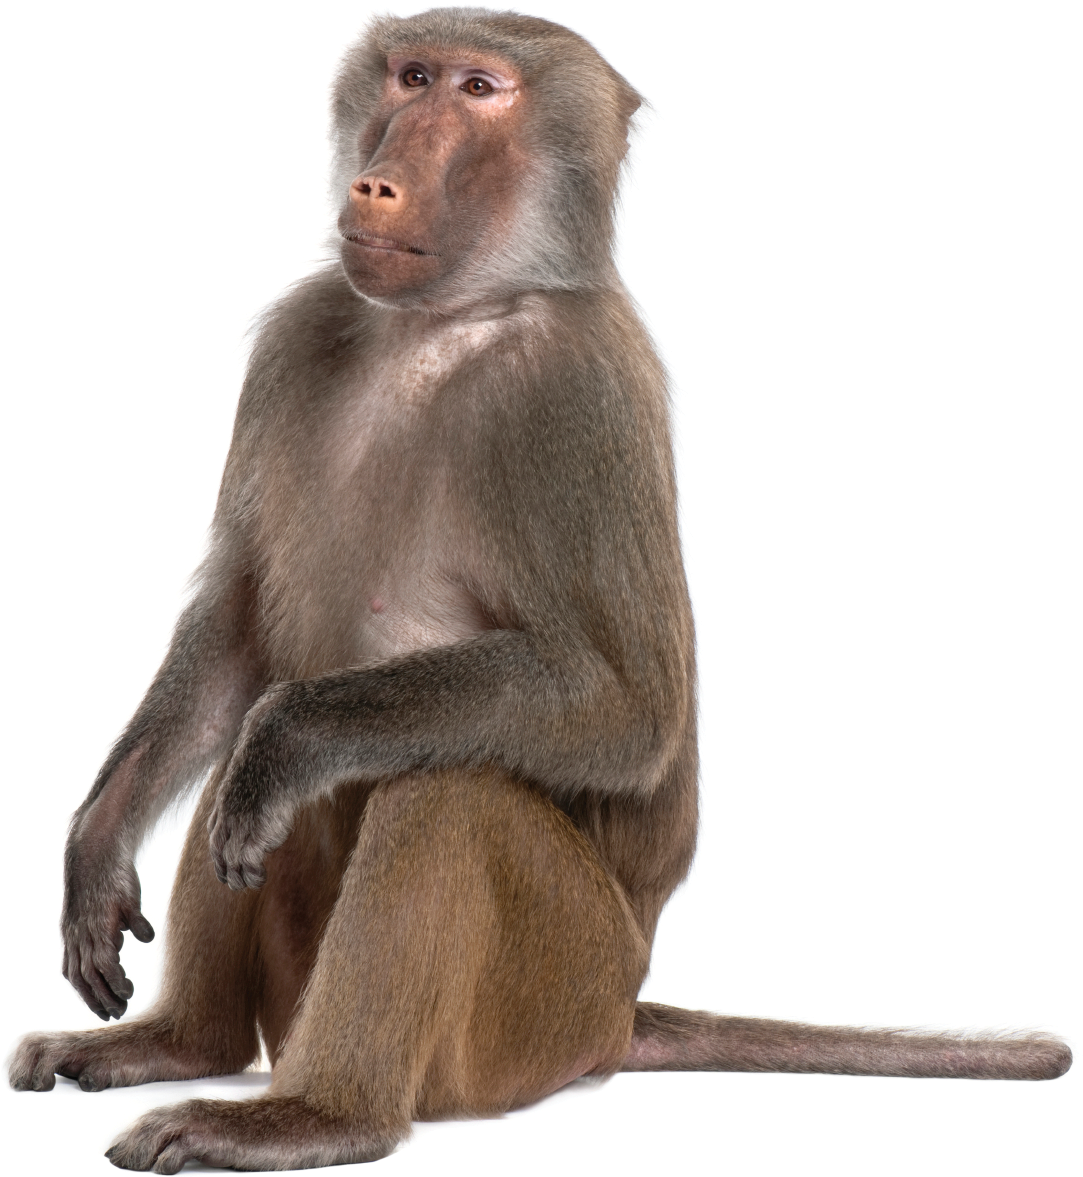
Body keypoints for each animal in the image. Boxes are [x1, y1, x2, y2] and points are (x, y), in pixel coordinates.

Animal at [4, 7, 1074, 1173]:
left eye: (480, 90)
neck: (444, 318)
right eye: (411, 76)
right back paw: (175, 1044)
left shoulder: (572, 393)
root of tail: (618, 1007)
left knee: (445, 791)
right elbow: (236, 633)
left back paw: (316, 1115)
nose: (377, 183)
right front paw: (98, 845)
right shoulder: (294, 335)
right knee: (246, 757)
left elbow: (626, 708)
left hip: (543, 1002)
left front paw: (292, 739)